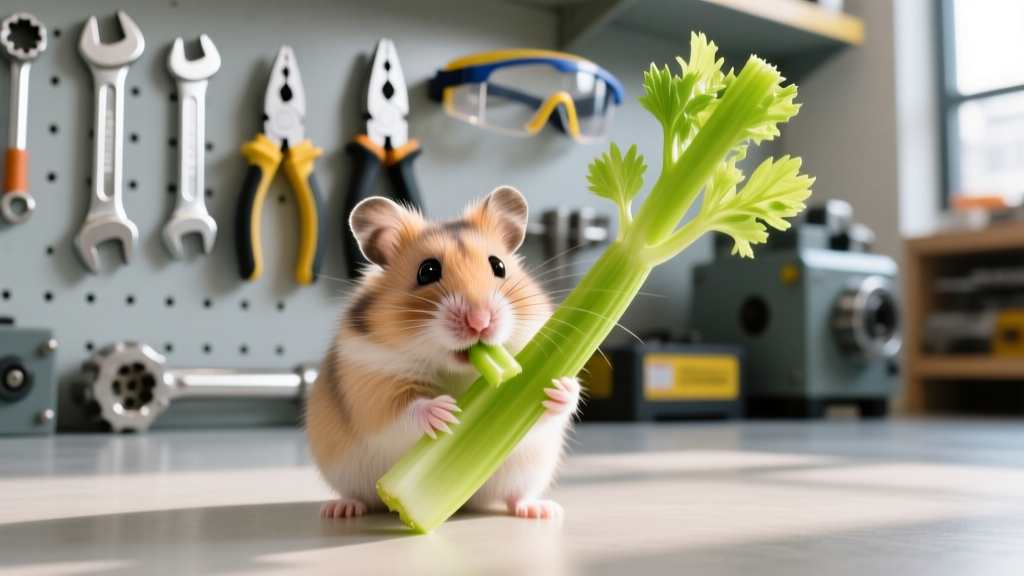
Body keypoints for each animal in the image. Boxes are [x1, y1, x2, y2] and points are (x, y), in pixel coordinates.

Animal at [306, 185, 581, 520]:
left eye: (499, 266)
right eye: (427, 271)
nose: (480, 322)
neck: (458, 369)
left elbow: (550, 412)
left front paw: (560, 388)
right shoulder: (372, 385)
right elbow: (401, 411)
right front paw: (445, 412)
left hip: (529, 472)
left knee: (517, 496)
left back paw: (541, 510)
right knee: (356, 496)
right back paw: (341, 509)